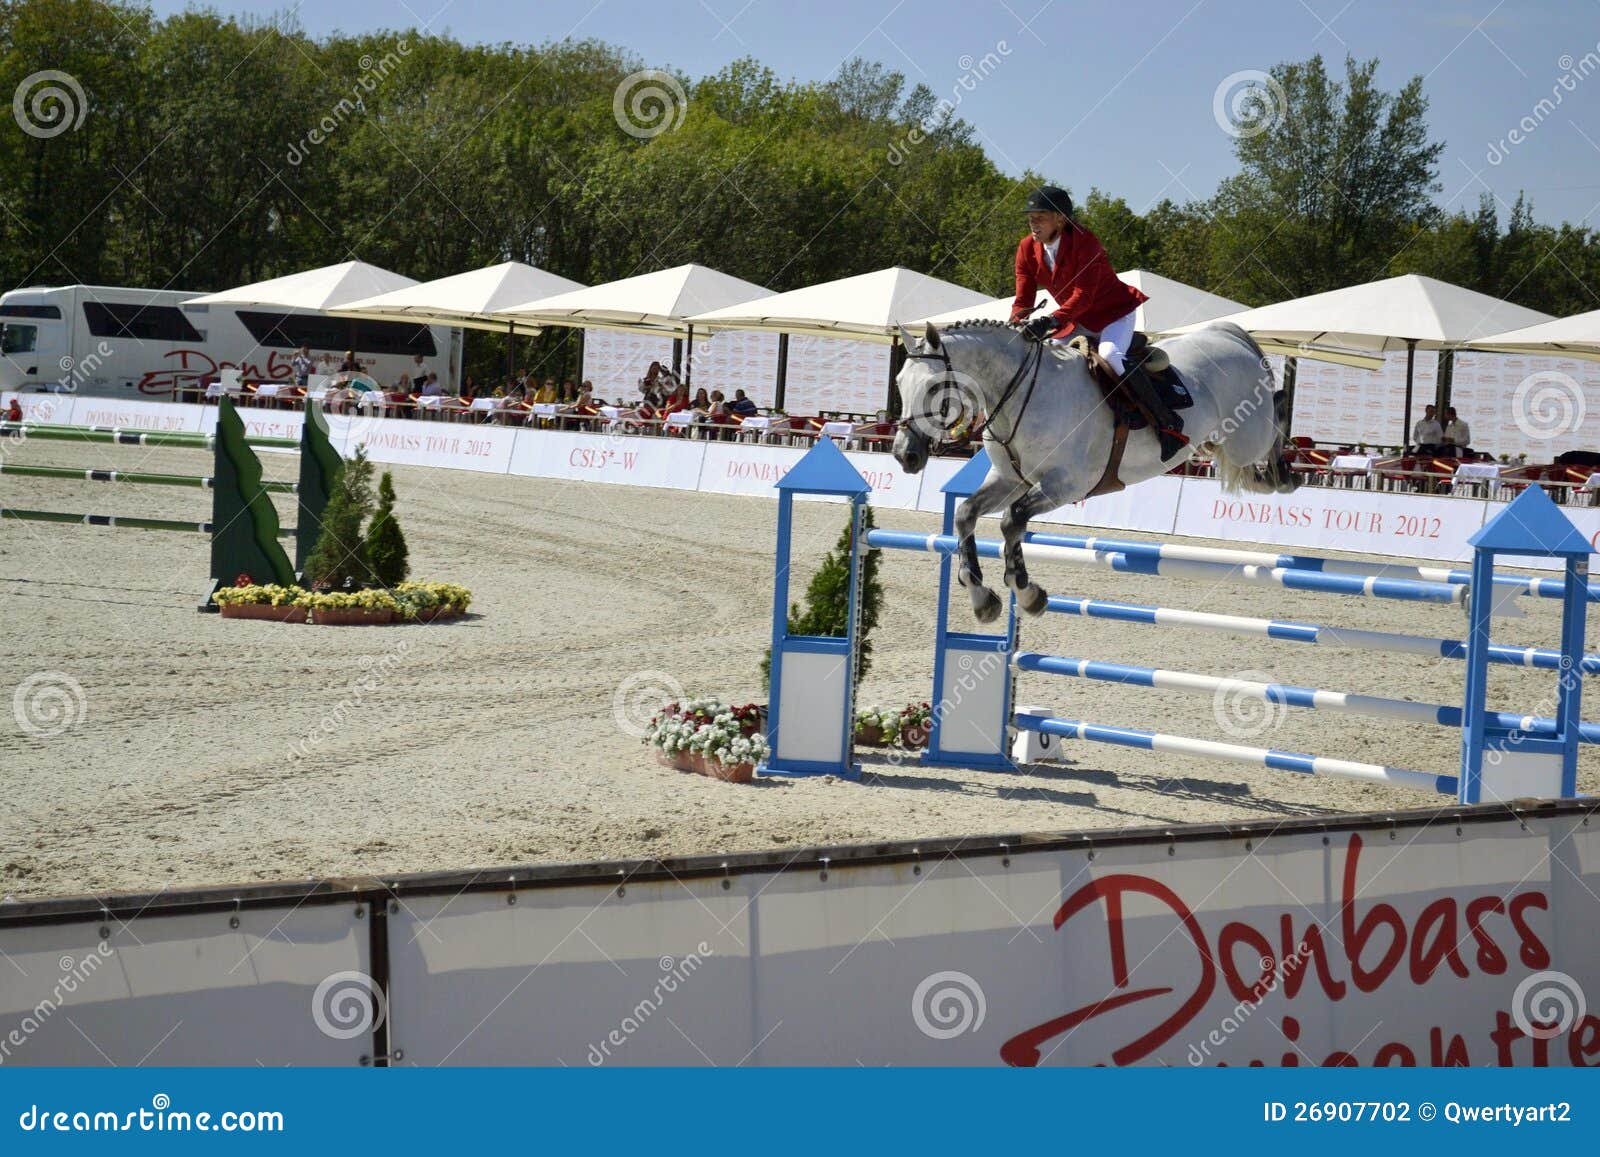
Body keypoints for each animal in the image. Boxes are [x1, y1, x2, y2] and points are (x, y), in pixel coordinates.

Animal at [890, 319, 1298, 624]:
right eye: (898, 384)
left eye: (934, 389)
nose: (904, 455)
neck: (1019, 393)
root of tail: (1229, 334)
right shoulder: (1010, 479)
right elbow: (966, 514)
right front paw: (982, 598)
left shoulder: (1066, 483)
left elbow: (1012, 520)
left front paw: (1027, 592)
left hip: (1247, 438)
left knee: (1274, 417)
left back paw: (1283, 475)